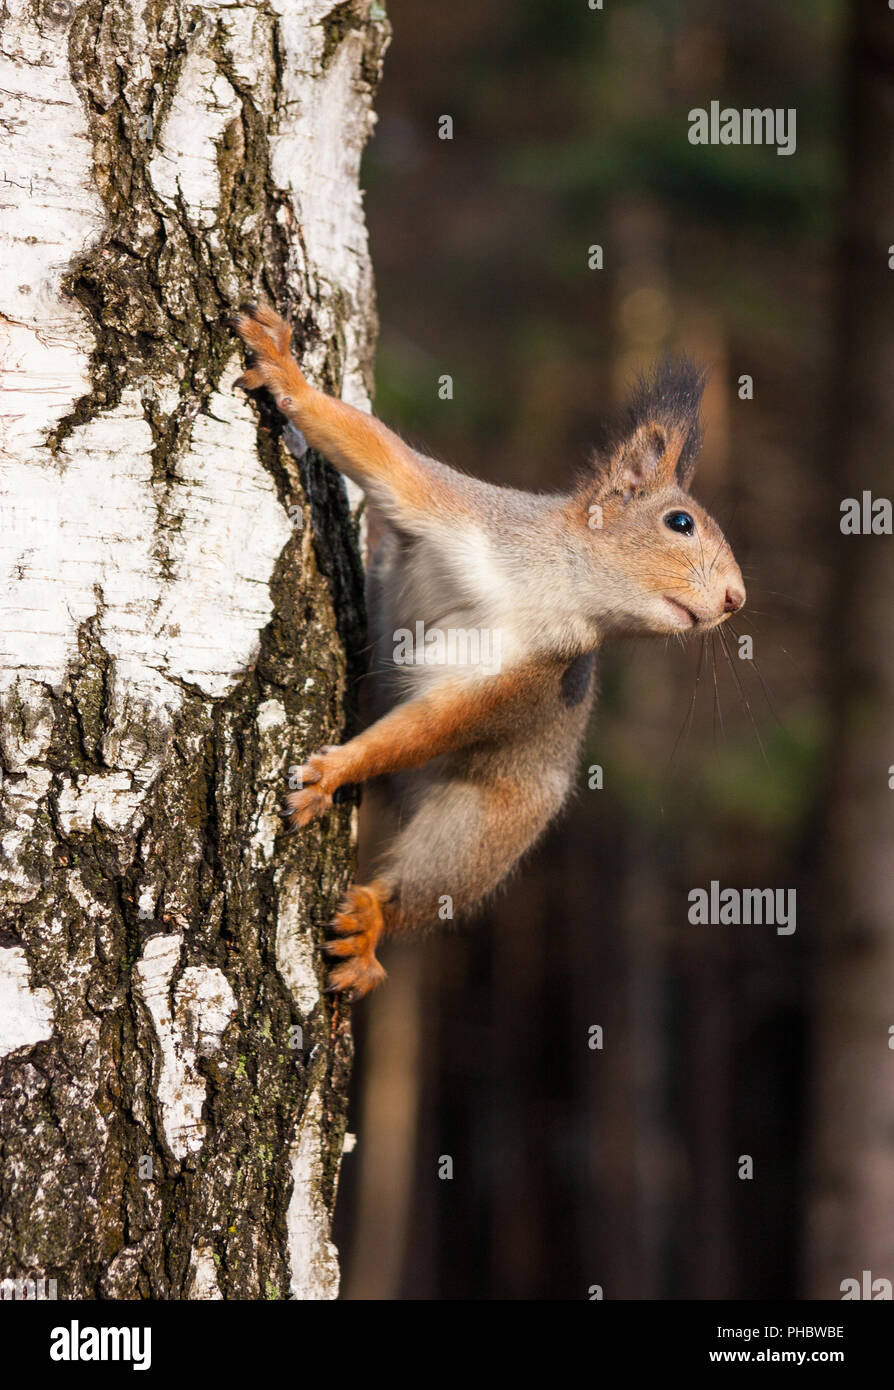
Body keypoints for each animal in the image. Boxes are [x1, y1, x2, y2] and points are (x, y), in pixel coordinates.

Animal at [229, 303, 745, 1000]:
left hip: (483, 828)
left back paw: (369, 928)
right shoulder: (463, 512)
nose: (736, 599)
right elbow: (378, 454)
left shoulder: (523, 675)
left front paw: (336, 771)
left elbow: (433, 725)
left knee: (424, 888)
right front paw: (288, 373)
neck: (556, 588)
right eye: (680, 523)